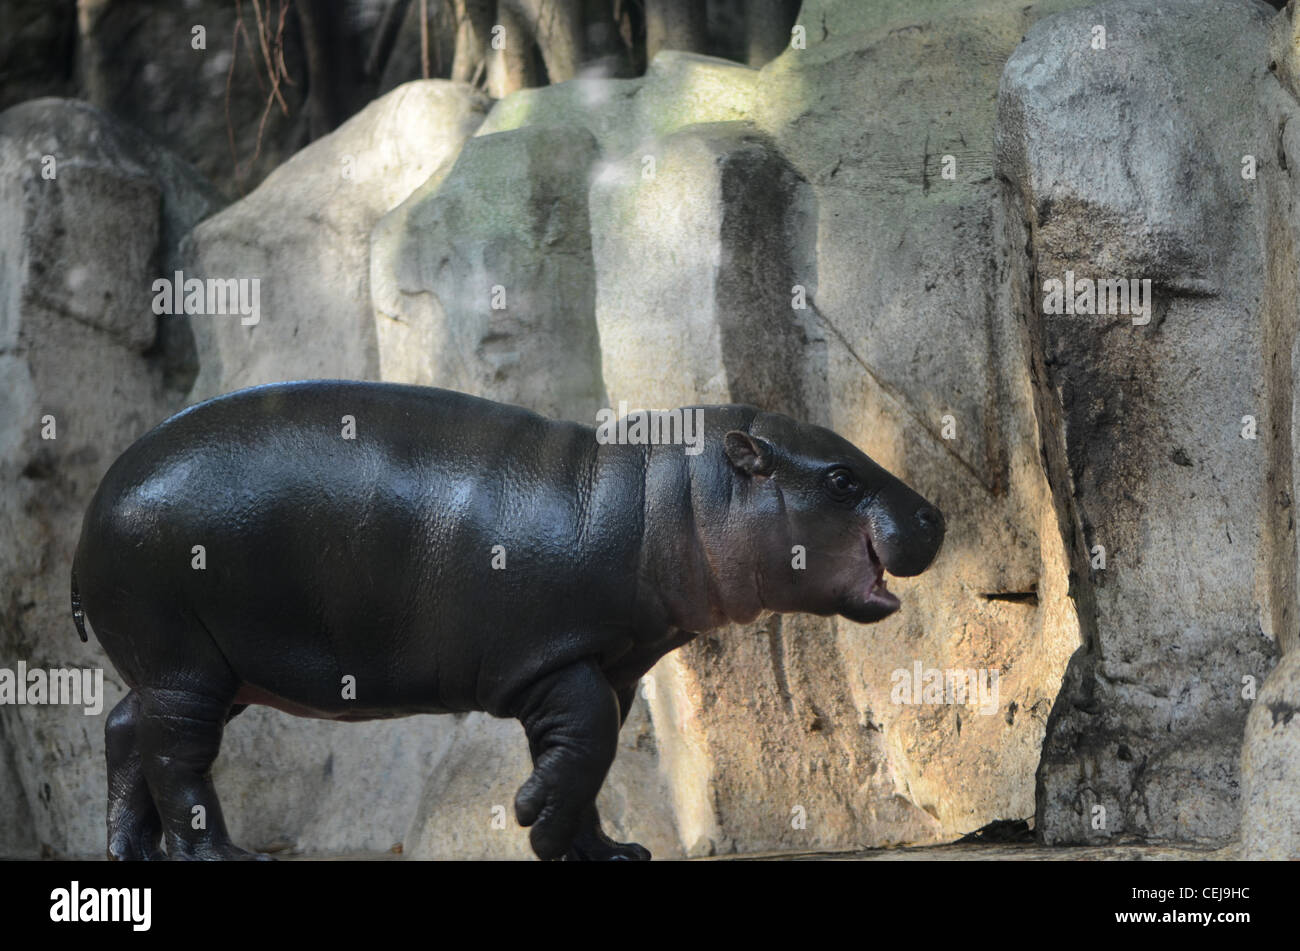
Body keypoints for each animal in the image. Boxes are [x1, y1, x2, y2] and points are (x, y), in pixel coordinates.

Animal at [72, 380, 944, 861]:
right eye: (840, 477)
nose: (934, 514)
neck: (673, 499)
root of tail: (90, 515)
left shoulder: (608, 664)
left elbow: (591, 762)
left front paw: (613, 852)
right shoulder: (555, 663)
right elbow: (586, 746)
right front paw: (532, 817)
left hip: (210, 667)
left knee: (127, 729)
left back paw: (130, 852)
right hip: (186, 660)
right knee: (177, 758)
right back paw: (224, 855)